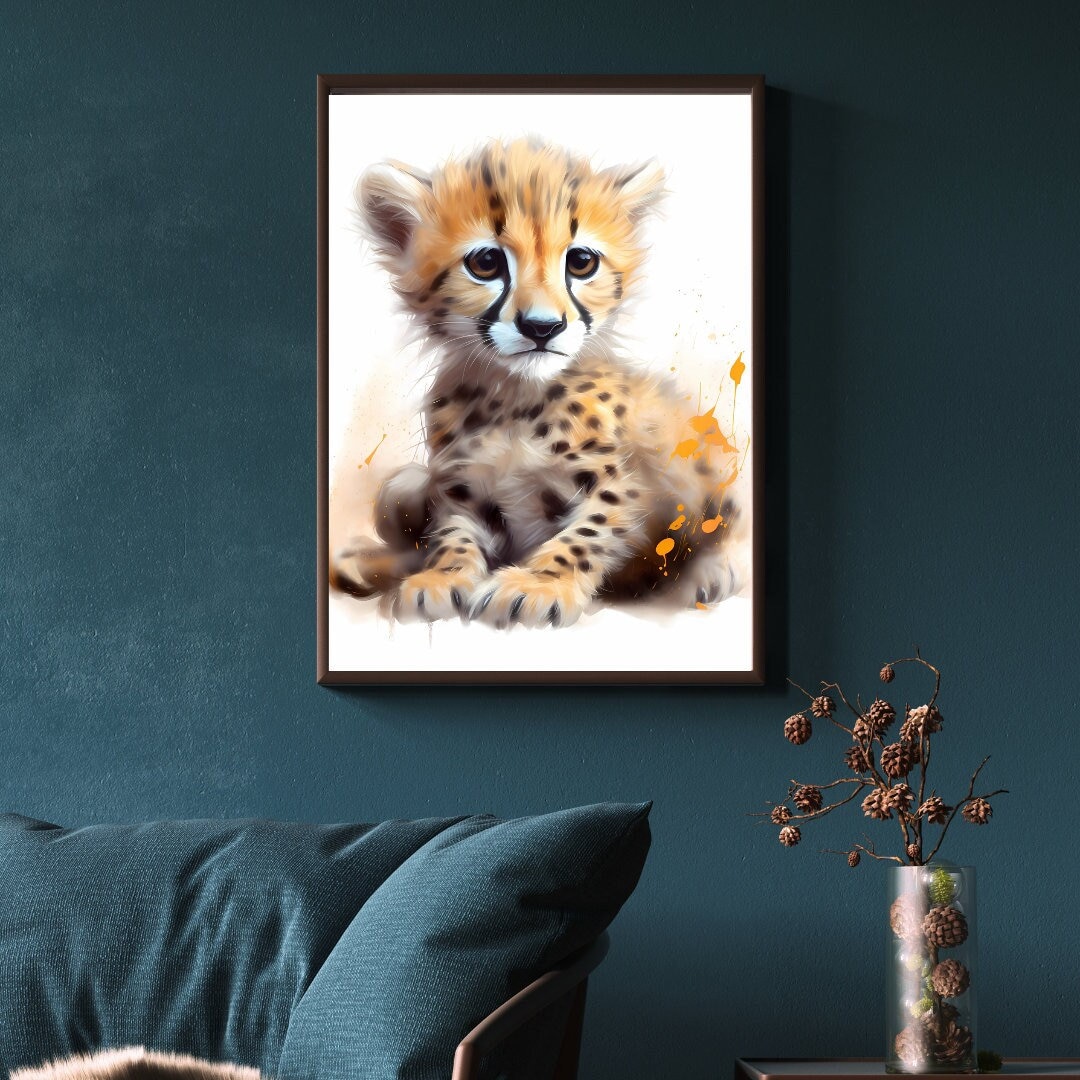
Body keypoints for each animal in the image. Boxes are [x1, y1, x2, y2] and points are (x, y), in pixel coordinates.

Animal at [330, 137, 747, 629]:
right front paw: (441, 576)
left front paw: (537, 584)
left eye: (581, 262)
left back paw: (712, 571)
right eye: (486, 262)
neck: (516, 398)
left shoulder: (623, 486)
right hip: (400, 490)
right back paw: (368, 564)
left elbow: (586, 533)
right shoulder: (461, 488)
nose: (542, 327)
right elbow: (451, 532)